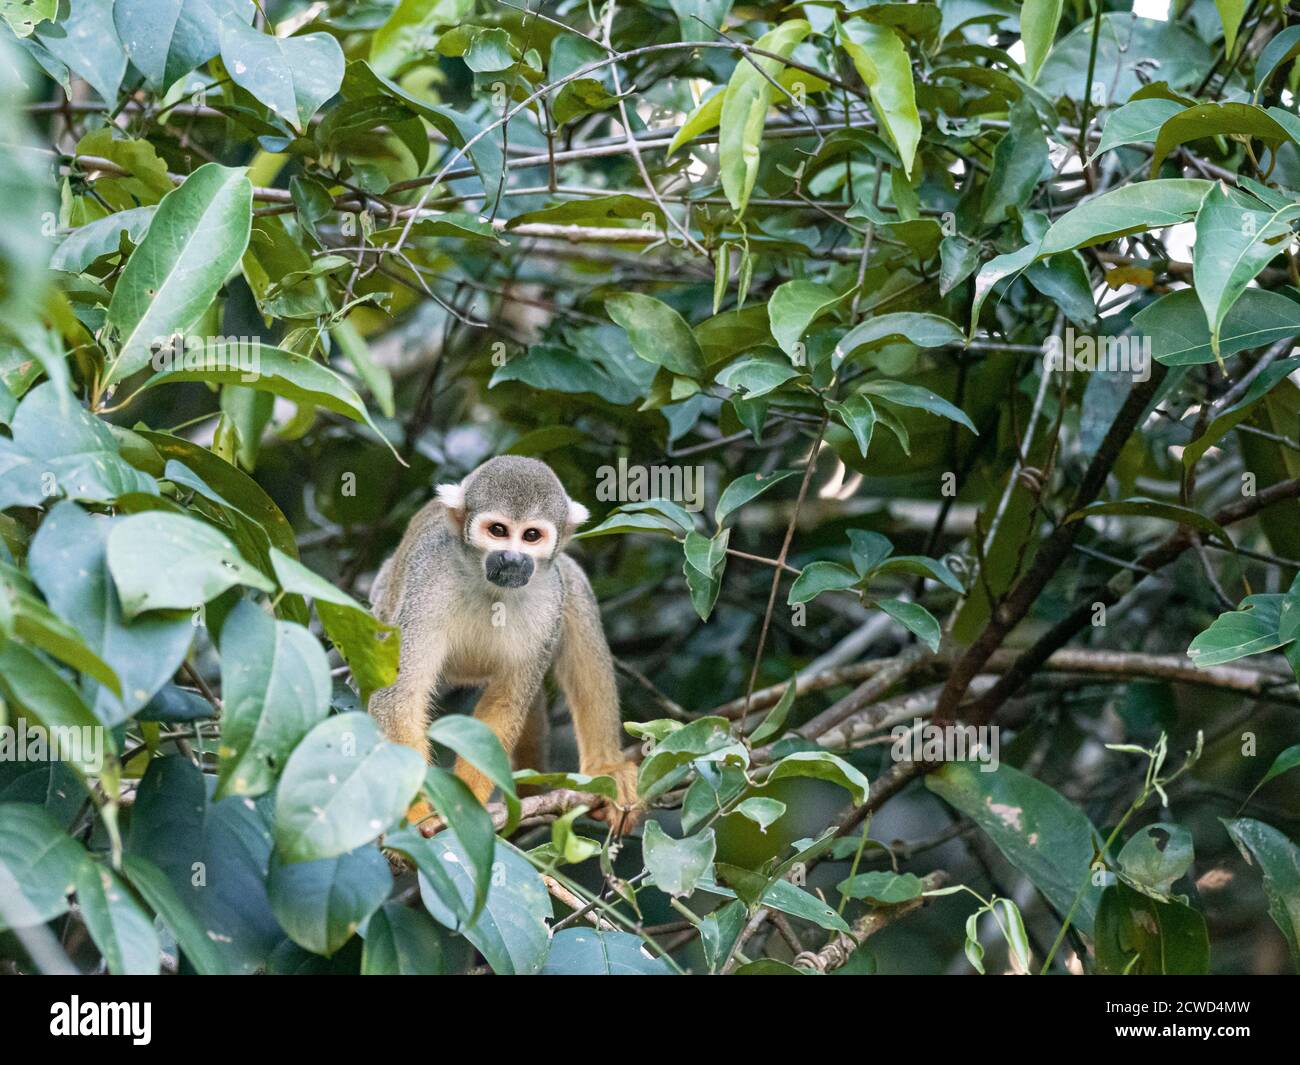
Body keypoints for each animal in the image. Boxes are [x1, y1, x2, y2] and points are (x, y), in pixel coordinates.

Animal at [367, 455, 641, 833]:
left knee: (573, 585)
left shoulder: (548, 602)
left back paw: (604, 768)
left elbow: (504, 705)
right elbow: (399, 695)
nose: (512, 559)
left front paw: (464, 805)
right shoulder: (428, 585)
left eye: (531, 536)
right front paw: (417, 812)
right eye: (498, 531)